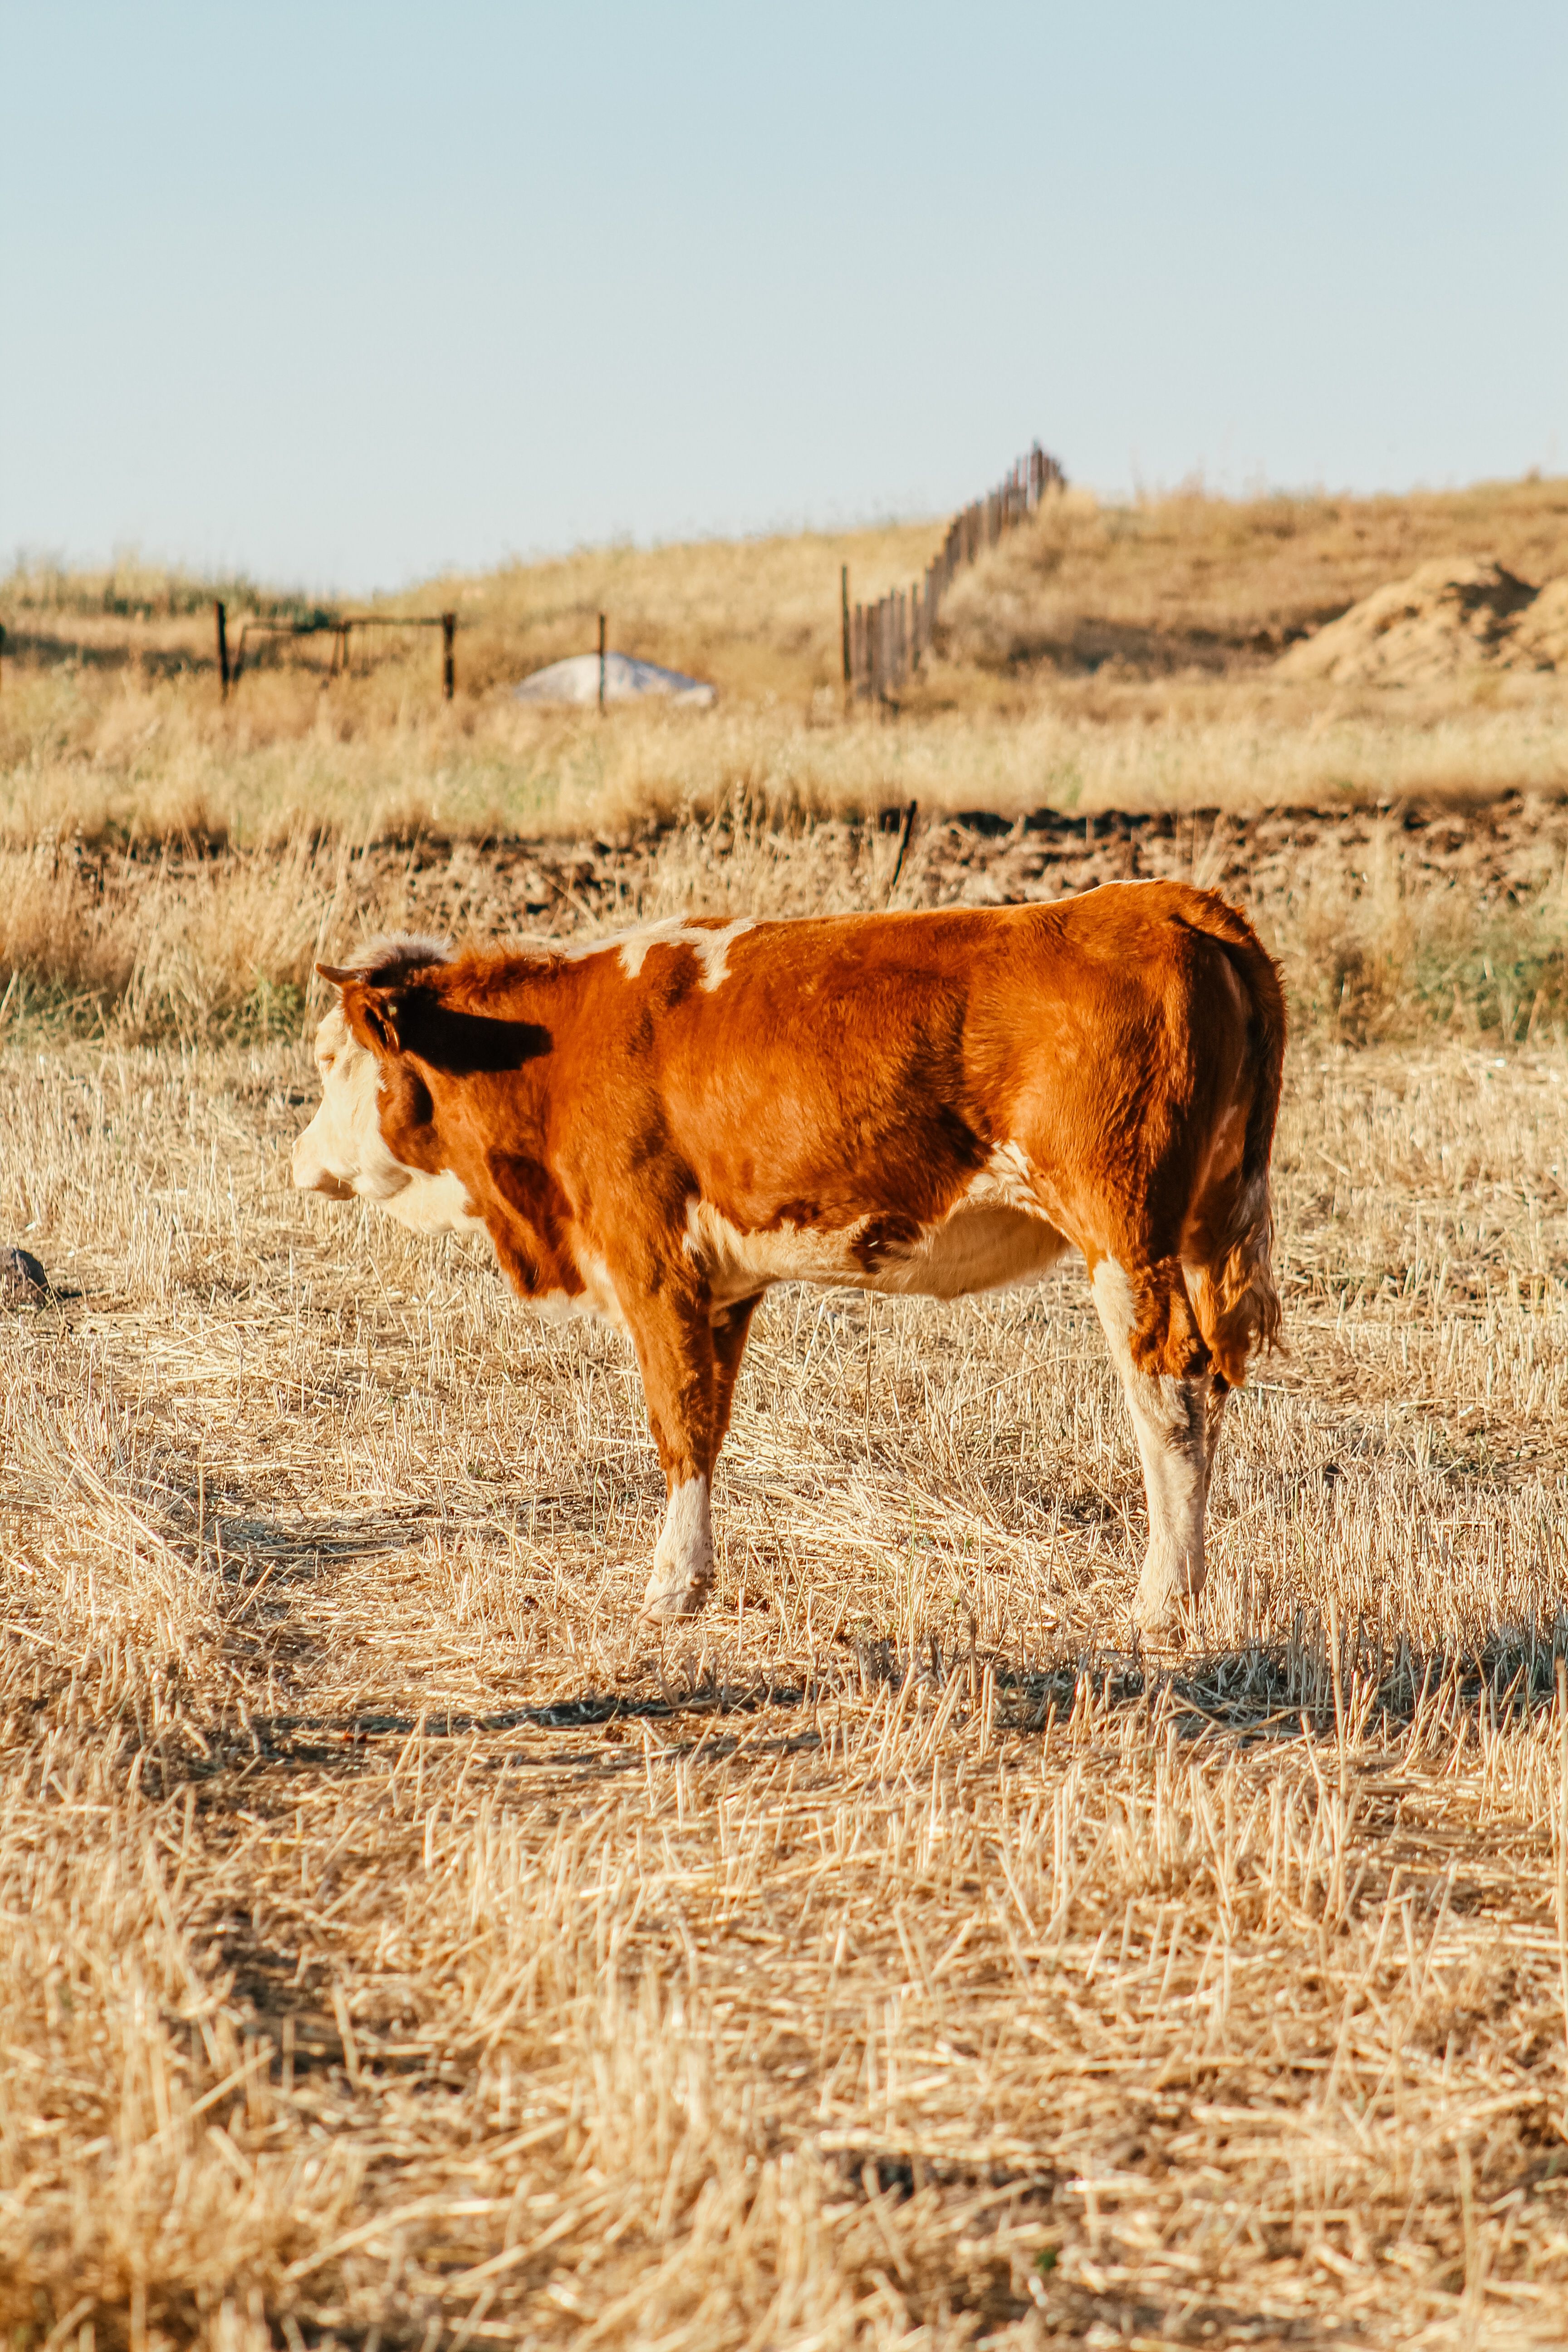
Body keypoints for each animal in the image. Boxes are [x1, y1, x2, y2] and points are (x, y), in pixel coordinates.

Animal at [291, 883, 1285, 1634]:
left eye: (332, 1056)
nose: (298, 1160)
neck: (557, 1048)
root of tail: (1165, 903)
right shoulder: (724, 1286)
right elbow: (711, 1418)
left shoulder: (653, 1262)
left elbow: (678, 1423)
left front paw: (671, 1587)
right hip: (1205, 1231)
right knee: (1209, 1392)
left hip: (1126, 1238)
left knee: (1171, 1401)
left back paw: (1163, 1603)